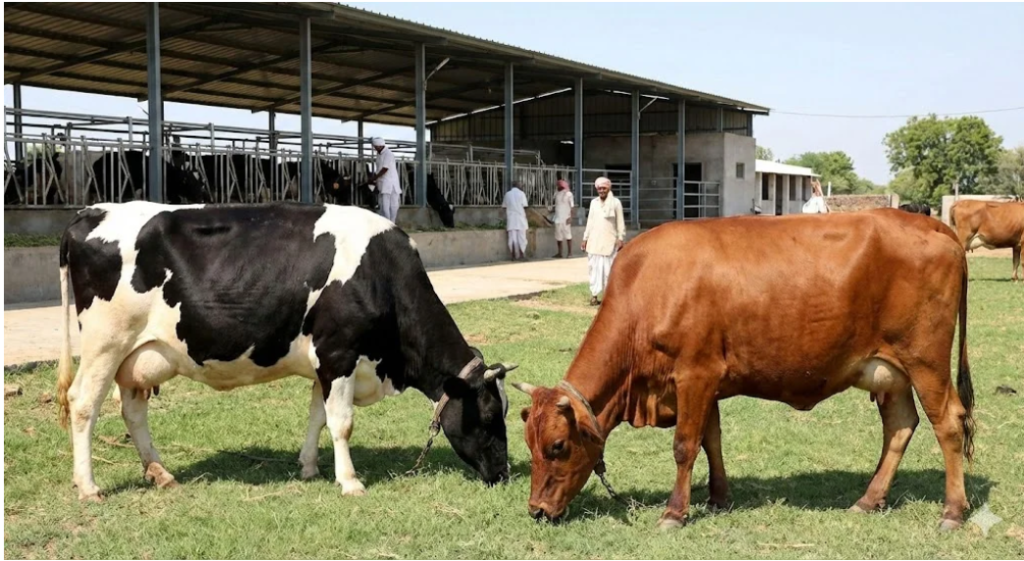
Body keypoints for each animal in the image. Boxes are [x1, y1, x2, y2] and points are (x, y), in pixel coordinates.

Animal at [56, 201, 517, 501]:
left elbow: (318, 417)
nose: (503, 474)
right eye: (489, 415)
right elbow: (342, 423)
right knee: (83, 403)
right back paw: (88, 487)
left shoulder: (324, 363)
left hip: (137, 355)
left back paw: (160, 472)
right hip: (105, 342)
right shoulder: (338, 353)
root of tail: (90, 212)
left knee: (132, 409)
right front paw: (350, 482)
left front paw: (310, 466)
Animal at [513, 208, 975, 532]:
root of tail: (934, 226)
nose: (536, 510)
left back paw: (952, 511)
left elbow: (684, 445)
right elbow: (710, 440)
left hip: (927, 362)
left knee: (949, 424)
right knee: (900, 426)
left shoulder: (694, 374)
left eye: (557, 446)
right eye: (528, 445)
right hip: (891, 372)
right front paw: (718, 497)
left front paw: (674, 513)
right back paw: (868, 500)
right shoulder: (705, 383)